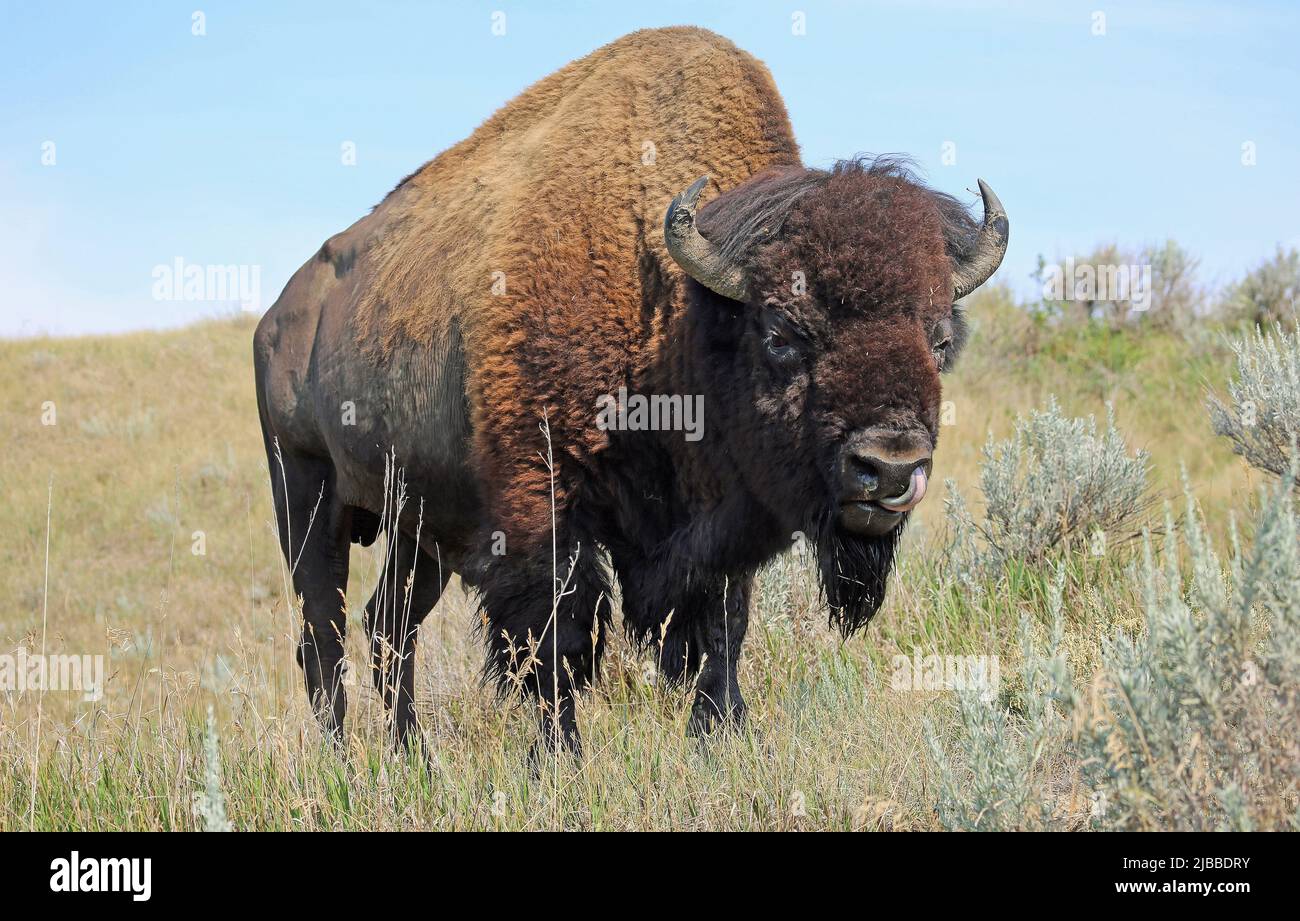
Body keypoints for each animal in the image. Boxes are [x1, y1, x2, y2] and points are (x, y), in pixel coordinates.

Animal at [253, 27, 1007, 757]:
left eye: (940, 339)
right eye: (781, 331)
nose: (890, 468)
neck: (677, 313)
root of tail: (277, 316)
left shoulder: (721, 523)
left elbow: (722, 624)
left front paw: (722, 736)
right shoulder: (544, 509)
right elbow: (558, 637)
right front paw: (560, 759)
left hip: (420, 524)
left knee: (387, 627)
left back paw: (412, 757)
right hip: (306, 494)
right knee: (322, 634)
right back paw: (342, 762)